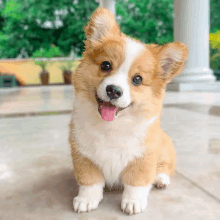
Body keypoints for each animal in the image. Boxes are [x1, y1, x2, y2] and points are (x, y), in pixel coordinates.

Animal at [69, 7, 187, 215]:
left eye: (137, 79)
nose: (114, 91)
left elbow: (136, 182)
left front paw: (133, 202)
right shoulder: (83, 155)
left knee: (164, 167)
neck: (112, 126)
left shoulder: (143, 157)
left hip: (165, 149)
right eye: (105, 65)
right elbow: (90, 181)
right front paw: (86, 200)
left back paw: (160, 179)